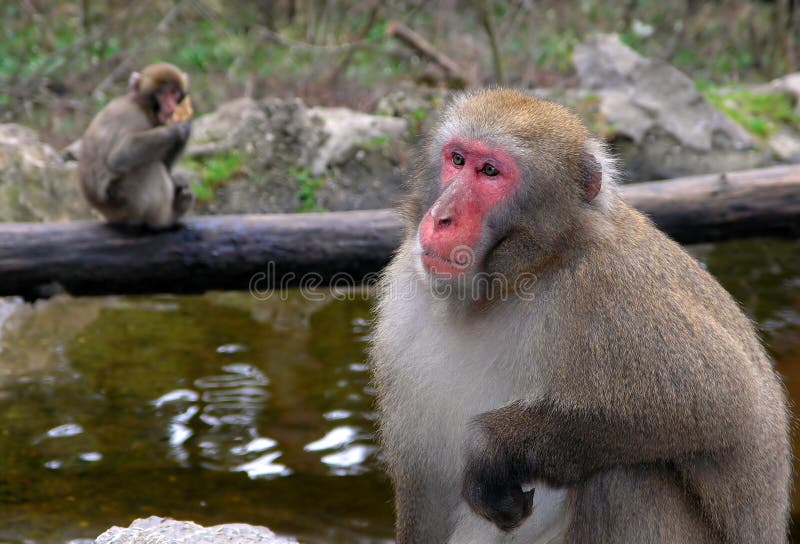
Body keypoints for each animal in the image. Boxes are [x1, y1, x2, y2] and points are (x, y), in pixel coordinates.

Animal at [79, 62, 194, 229]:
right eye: (161, 92)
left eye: (174, 92)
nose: (171, 106)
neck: (143, 106)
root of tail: (105, 214)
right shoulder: (132, 115)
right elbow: (121, 155)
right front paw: (177, 129)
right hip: (125, 204)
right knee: (147, 167)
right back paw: (167, 219)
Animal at [369, 89, 791, 544]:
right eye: (458, 159)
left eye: (490, 171)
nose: (441, 217)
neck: (503, 287)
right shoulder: (403, 305)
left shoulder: (607, 289)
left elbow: (728, 404)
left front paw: (493, 450)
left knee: (626, 477)